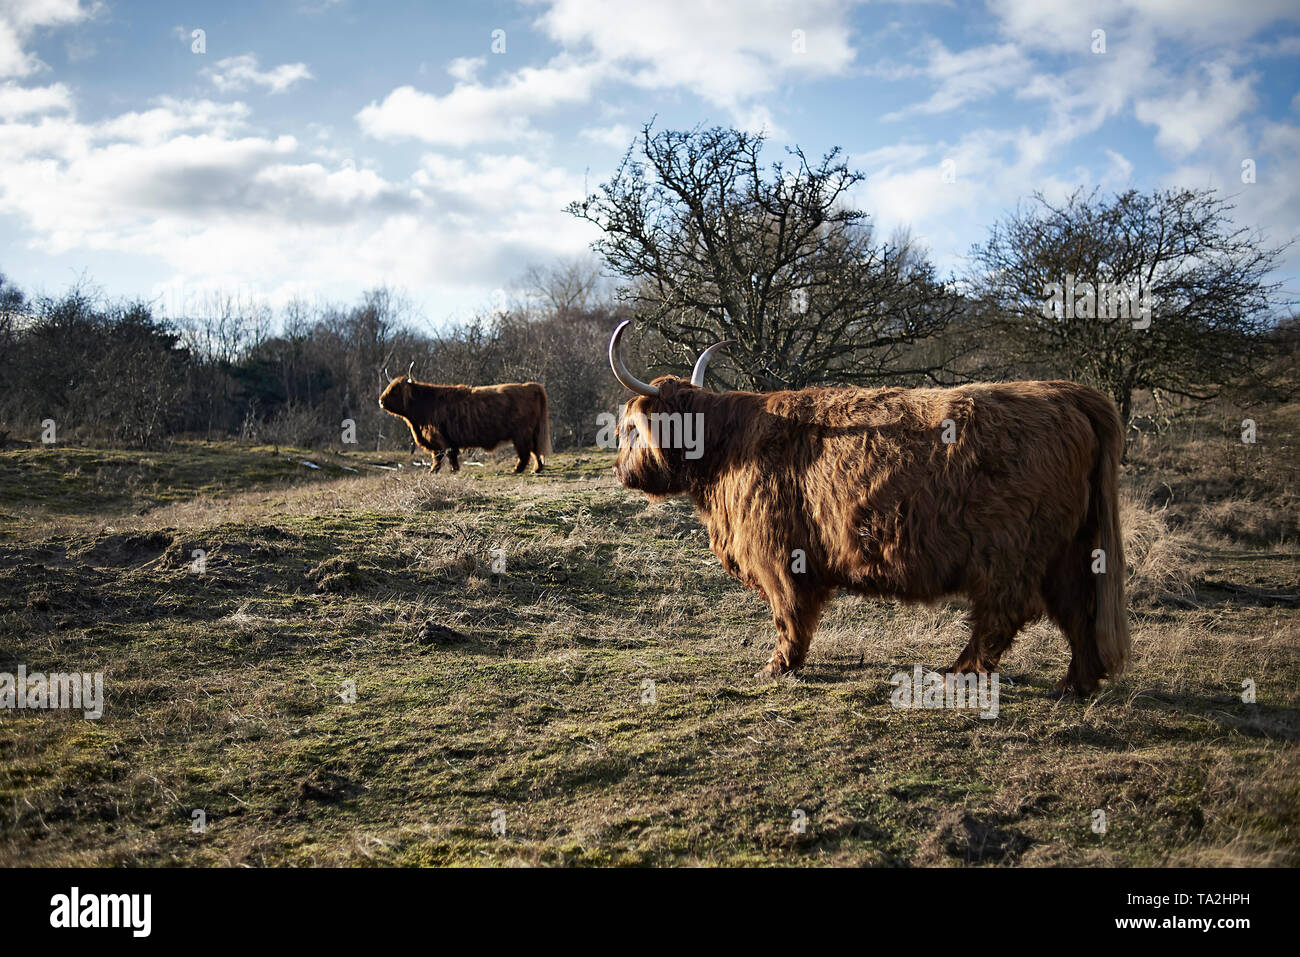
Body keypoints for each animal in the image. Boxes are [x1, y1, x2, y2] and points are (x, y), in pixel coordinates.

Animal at [378, 370, 551, 474]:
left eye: (395, 390)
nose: (380, 401)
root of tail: (530, 386)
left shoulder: (438, 436)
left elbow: (445, 454)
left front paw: (449, 470)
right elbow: (442, 455)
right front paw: (438, 470)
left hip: (521, 434)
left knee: (526, 452)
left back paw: (518, 469)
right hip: (532, 432)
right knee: (535, 450)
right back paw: (537, 469)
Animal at [607, 320, 1130, 696]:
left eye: (630, 428)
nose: (619, 470)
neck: (727, 446)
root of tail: (1067, 392)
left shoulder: (779, 552)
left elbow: (787, 612)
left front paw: (777, 667)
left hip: (1009, 550)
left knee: (1005, 612)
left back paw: (960, 672)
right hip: (1069, 548)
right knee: (1077, 609)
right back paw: (1075, 683)